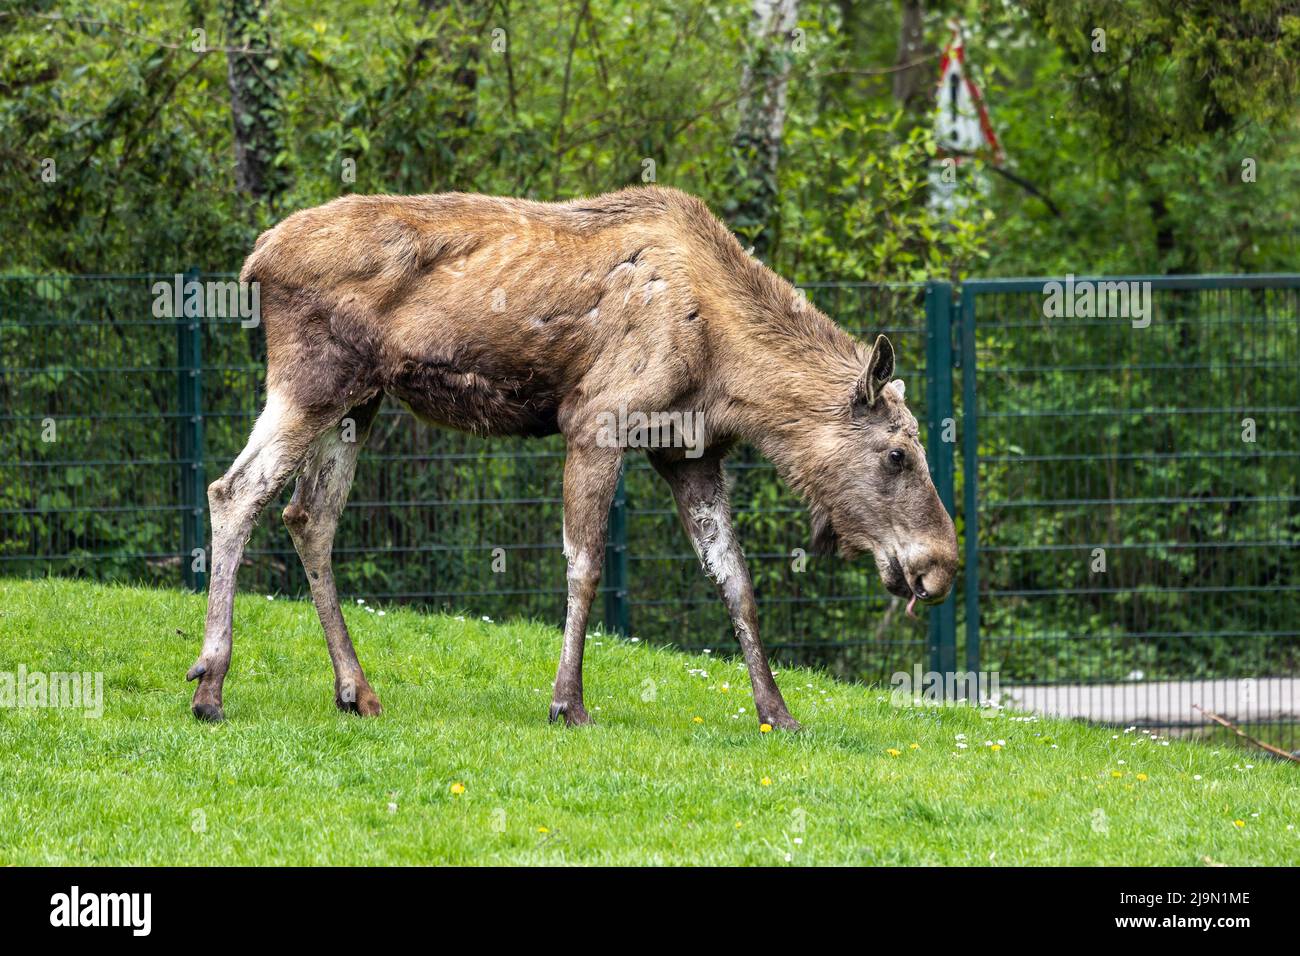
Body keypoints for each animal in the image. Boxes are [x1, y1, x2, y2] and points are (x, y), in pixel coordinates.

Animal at [186, 186, 958, 730]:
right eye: (897, 453)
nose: (941, 564)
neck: (732, 375)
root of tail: (255, 260)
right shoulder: (595, 421)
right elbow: (583, 564)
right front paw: (568, 702)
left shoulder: (690, 453)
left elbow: (735, 581)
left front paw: (778, 712)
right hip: (314, 377)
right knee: (236, 491)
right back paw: (210, 685)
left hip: (360, 402)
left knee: (309, 516)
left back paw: (356, 690)